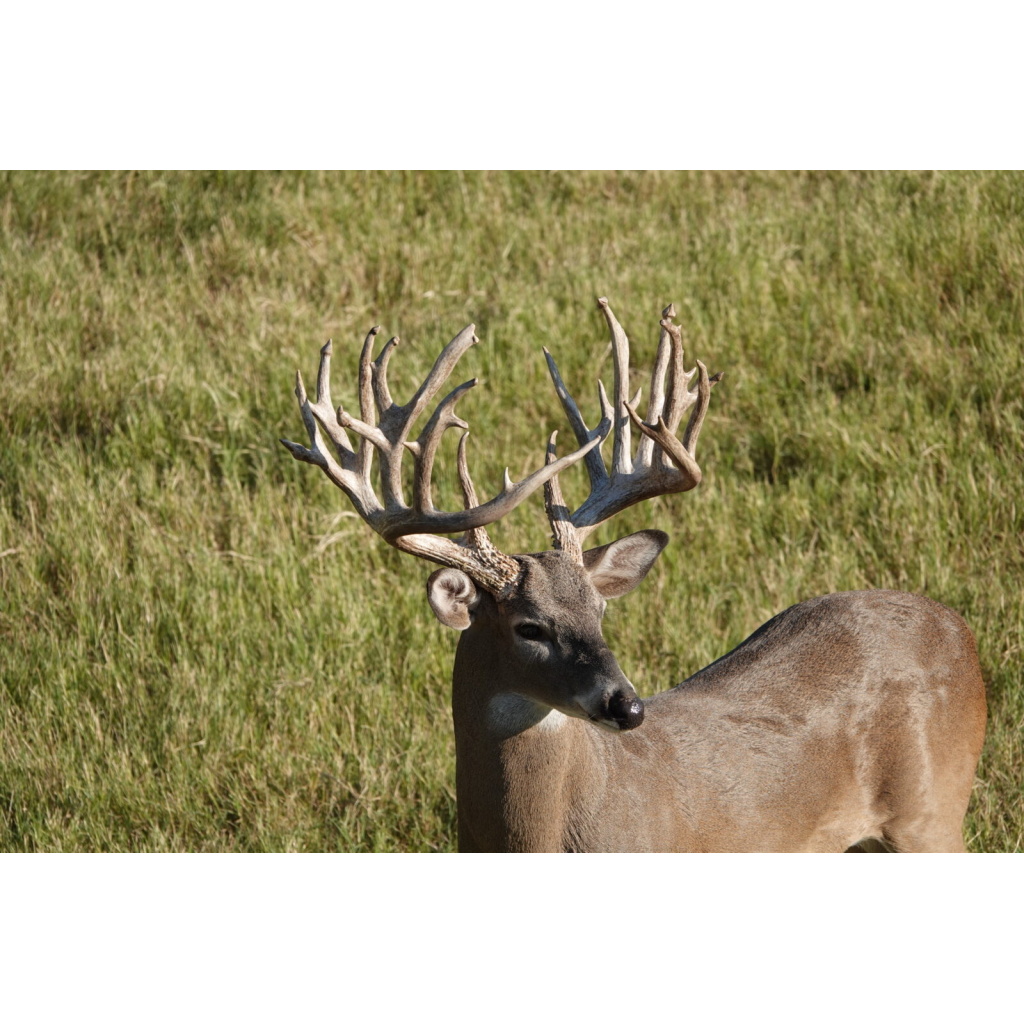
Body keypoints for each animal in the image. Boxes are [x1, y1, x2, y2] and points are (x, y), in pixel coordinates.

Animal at [281, 298, 987, 852]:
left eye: (599, 612)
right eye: (529, 627)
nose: (627, 705)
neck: (530, 843)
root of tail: (957, 626)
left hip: (934, 811)